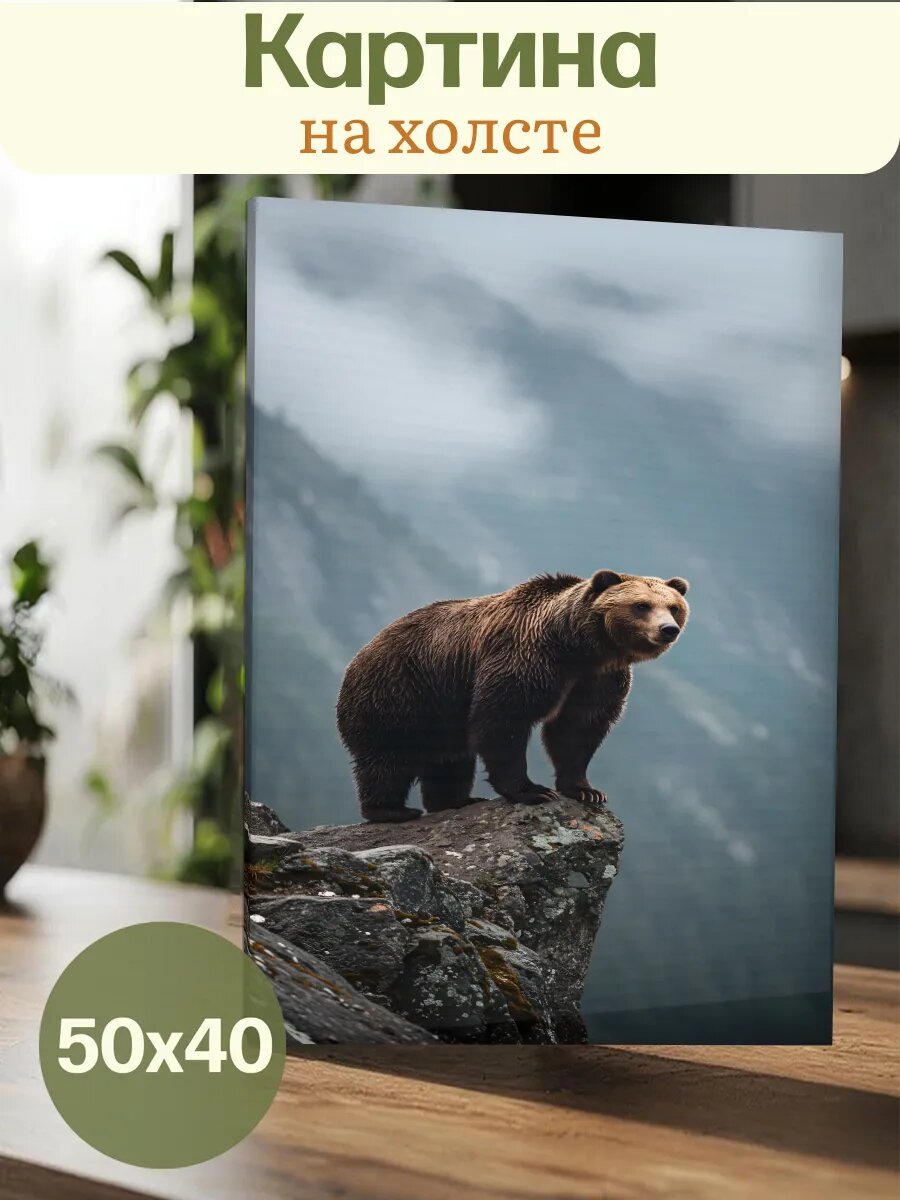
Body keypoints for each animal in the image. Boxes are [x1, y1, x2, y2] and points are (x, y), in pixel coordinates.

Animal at [336, 569, 689, 823]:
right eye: (641, 605)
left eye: (673, 607)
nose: (668, 629)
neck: (581, 648)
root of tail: (360, 654)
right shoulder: (526, 658)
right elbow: (504, 720)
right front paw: (533, 791)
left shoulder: (598, 681)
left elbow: (577, 730)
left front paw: (585, 791)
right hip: (402, 690)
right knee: (390, 755)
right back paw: (391, 810)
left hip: (442, 714)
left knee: (450, 760)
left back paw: (455, 800)